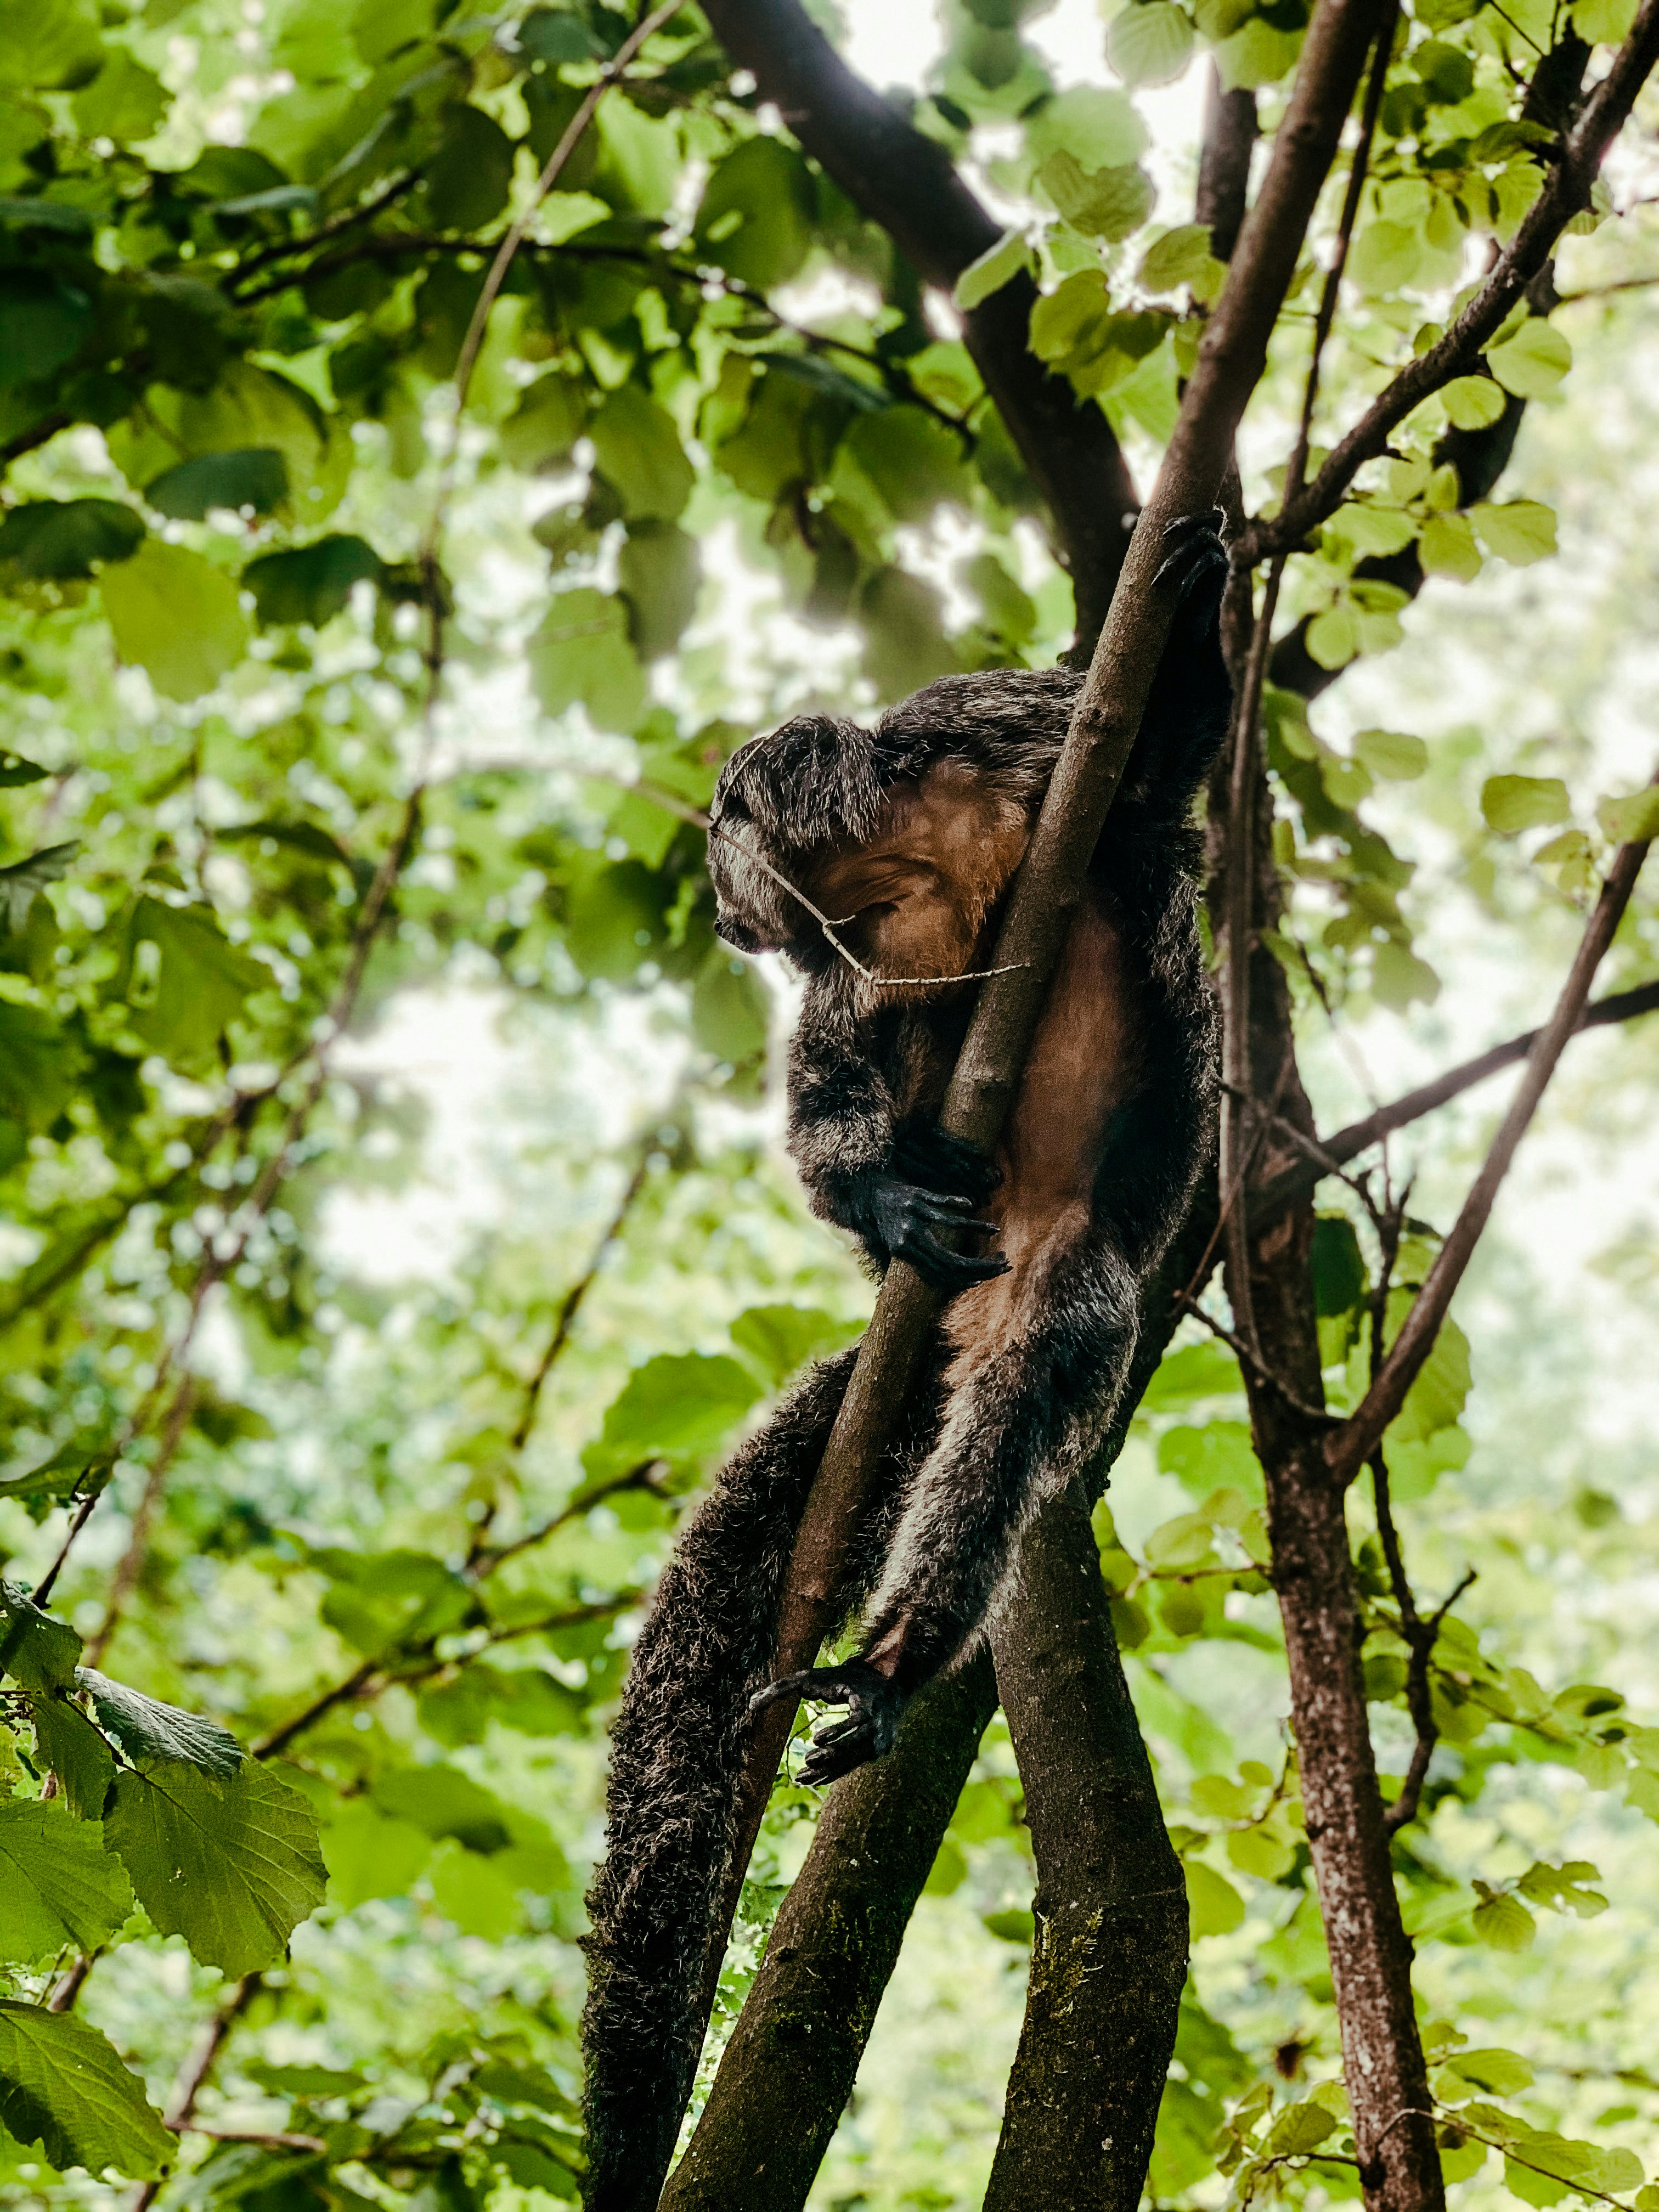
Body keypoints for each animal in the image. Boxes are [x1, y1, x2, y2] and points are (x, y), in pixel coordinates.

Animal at [580, 514, 1231, 2209]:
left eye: (723, 845)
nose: (722, 904)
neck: (909, 853)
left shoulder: (994, 727)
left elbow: (1160, 776)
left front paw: (1199, 590)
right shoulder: (846, 961)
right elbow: (826, 1106)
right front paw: (870, 1191)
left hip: (1039, 1269)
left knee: (1046, 1356)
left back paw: (892, 1662)